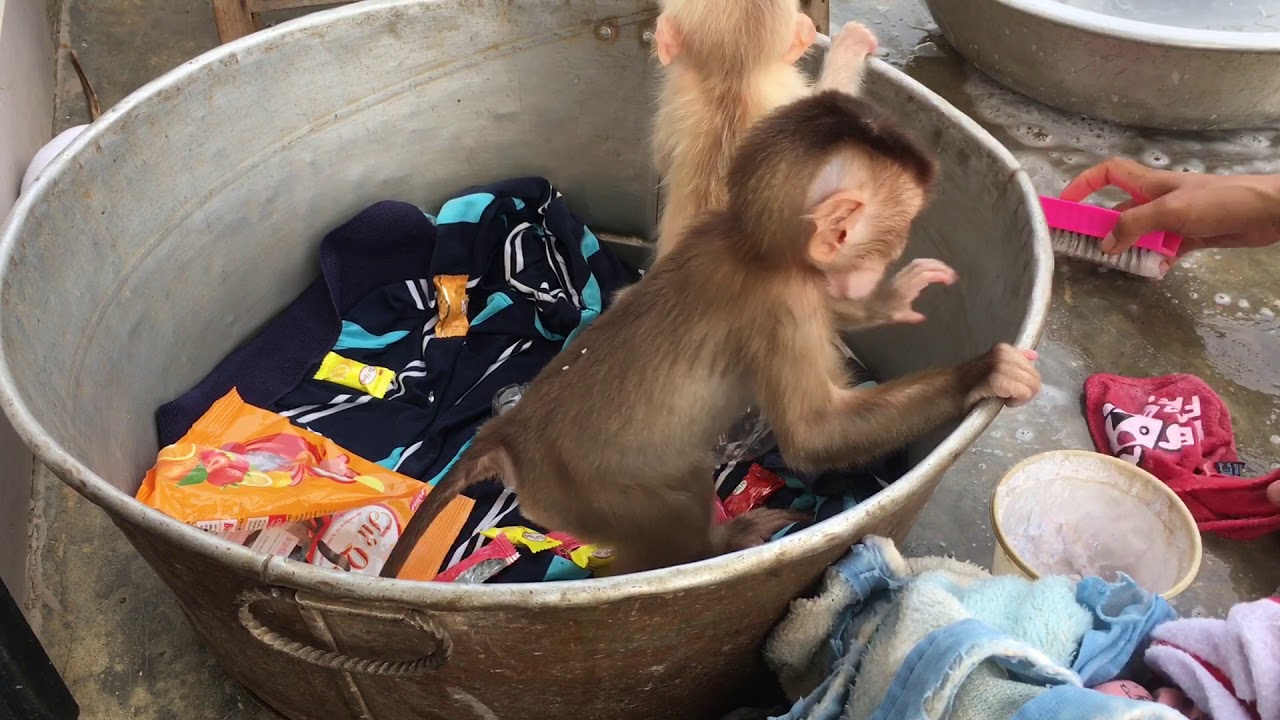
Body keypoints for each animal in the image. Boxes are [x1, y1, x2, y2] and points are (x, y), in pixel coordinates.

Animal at [387, 91, 1041, 579]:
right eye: (895, 233)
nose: (884, 265)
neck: (752, 247)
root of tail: (510, 432)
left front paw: (893, 299)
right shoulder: (784, 306)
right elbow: (812, 436)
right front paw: (984, 371)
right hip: (595, 495)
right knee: (675, 517)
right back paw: (713, 544)